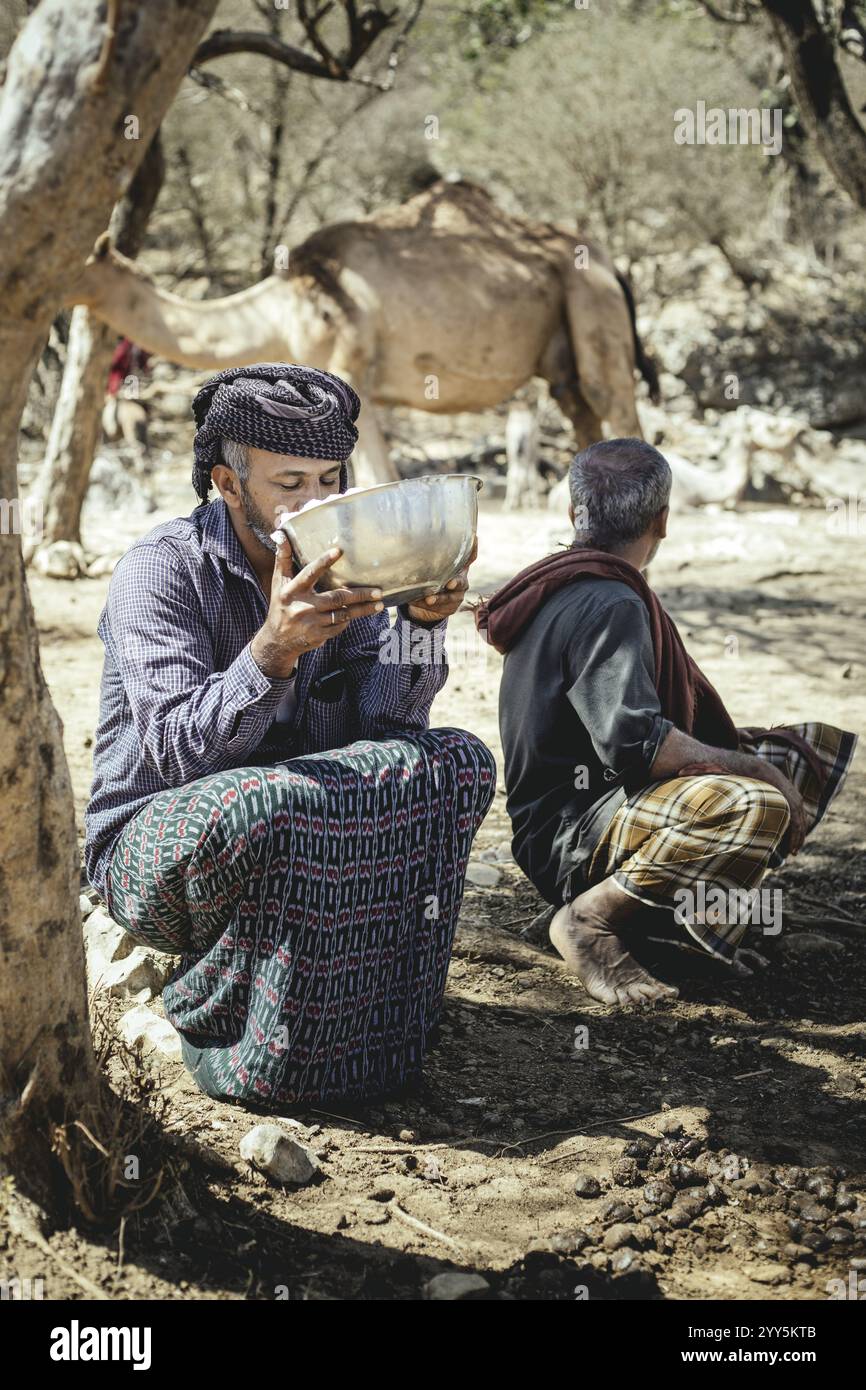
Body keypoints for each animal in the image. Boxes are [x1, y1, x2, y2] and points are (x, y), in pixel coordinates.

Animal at [65, 179, 659, 487]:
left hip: (591, 300)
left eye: (85, 261)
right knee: (582, 411)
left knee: (615, 402)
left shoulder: (347, 370)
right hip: (562, 349)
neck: (286, 306)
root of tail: (611, 264)